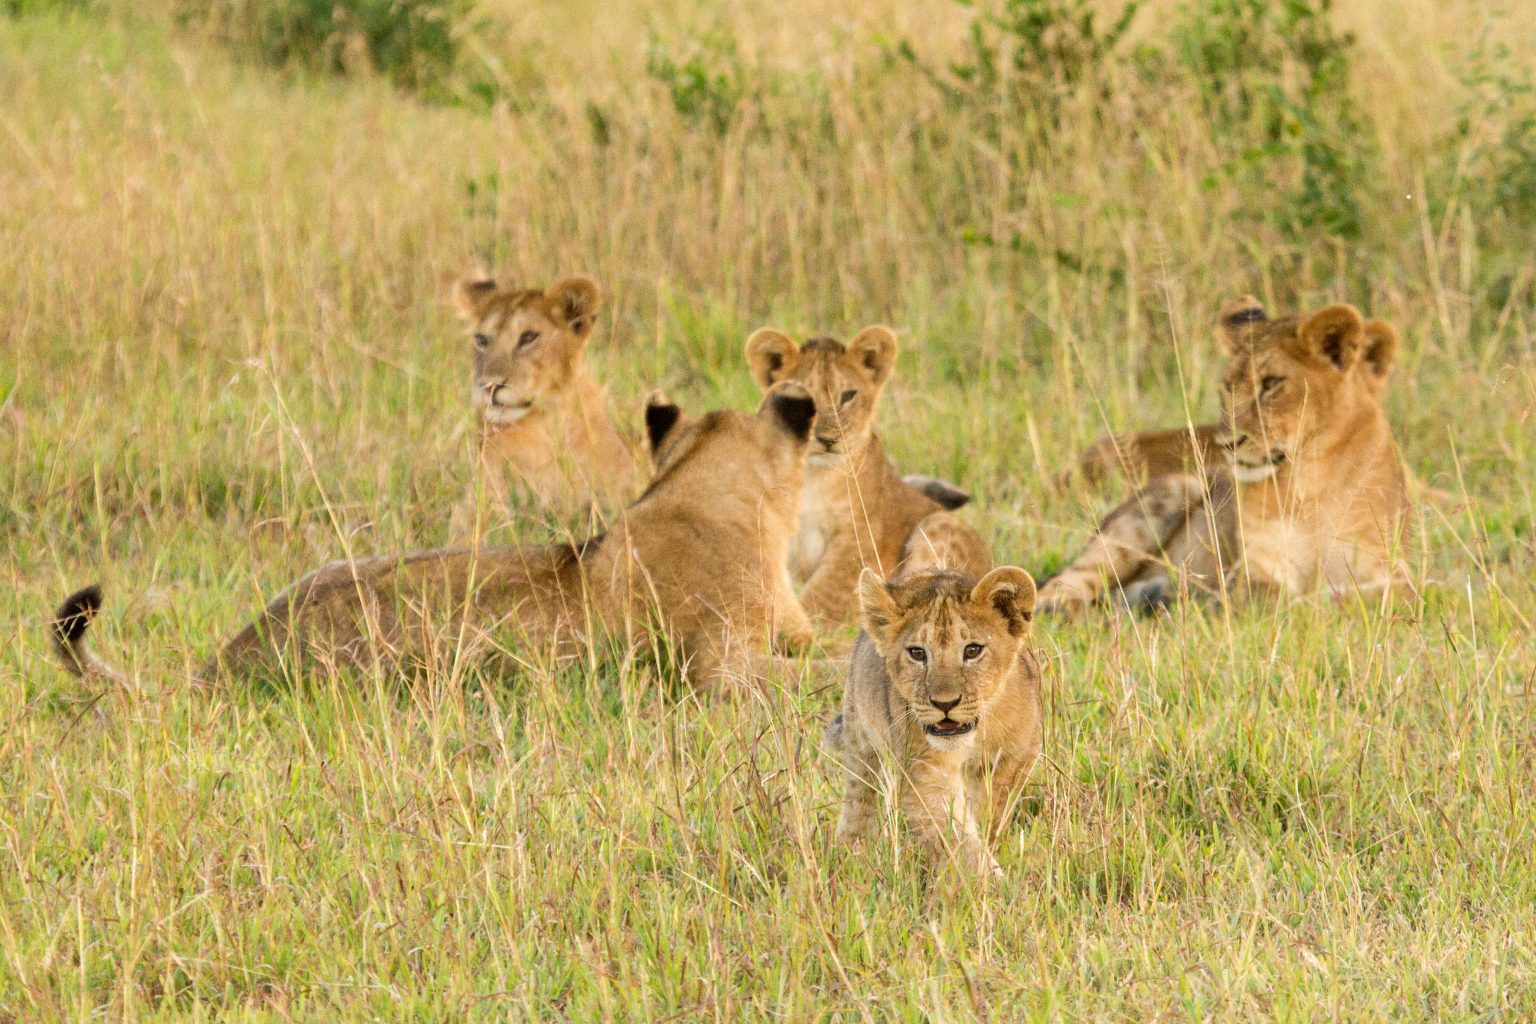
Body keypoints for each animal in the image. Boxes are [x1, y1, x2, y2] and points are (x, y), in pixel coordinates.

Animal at [745, 327, 991, 626]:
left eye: (848, 395)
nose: (827, 439)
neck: (812, 476)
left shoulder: (859, 539)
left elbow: (824, 593)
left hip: (940, 525)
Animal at [824, 566, 1042, 875]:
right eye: (917, 653)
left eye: (972, 650)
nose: (945, 703)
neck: (979, 731)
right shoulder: (924, 768)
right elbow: (954, 834)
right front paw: (986, 879)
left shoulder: (1014, 757)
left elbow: (991, 811)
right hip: (861, 743)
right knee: (860, 802)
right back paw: (852, 858)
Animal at [1038, 300, 1413, 615]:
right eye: (1229, 386)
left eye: (1271, 383)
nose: (1227, 442)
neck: (1309, 481)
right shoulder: (1251, 572)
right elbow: (1275, 597)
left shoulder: (1397, 573)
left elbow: (1364, 594)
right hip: (1164, 497)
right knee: (1069, 581)